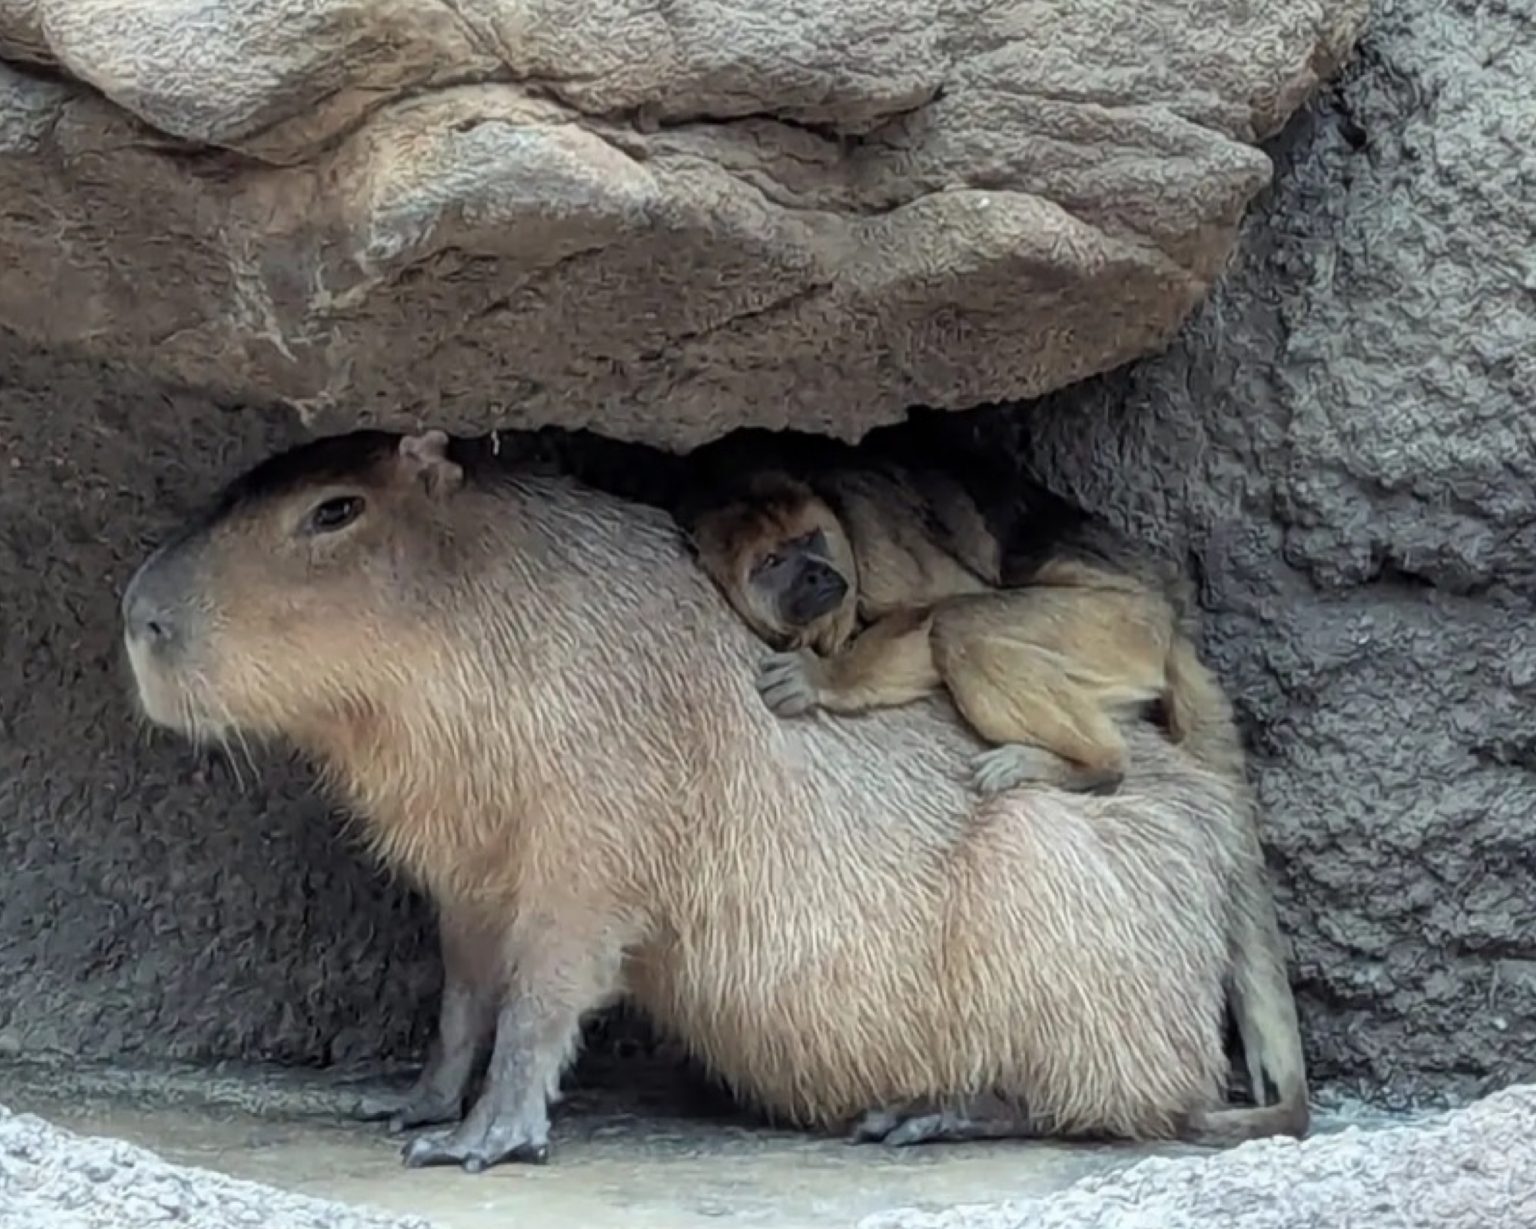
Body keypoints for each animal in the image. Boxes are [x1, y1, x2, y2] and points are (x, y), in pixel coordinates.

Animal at [120, 427, 1307, 1172]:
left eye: (335, 510)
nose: (138, 617)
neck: (502, 600)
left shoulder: (596, 819)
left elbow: (547, 987)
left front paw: (482, 1138)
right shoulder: (468, 865)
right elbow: (463, 990)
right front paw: (408, 1099)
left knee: (1130, 1099)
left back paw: (928, 1113)